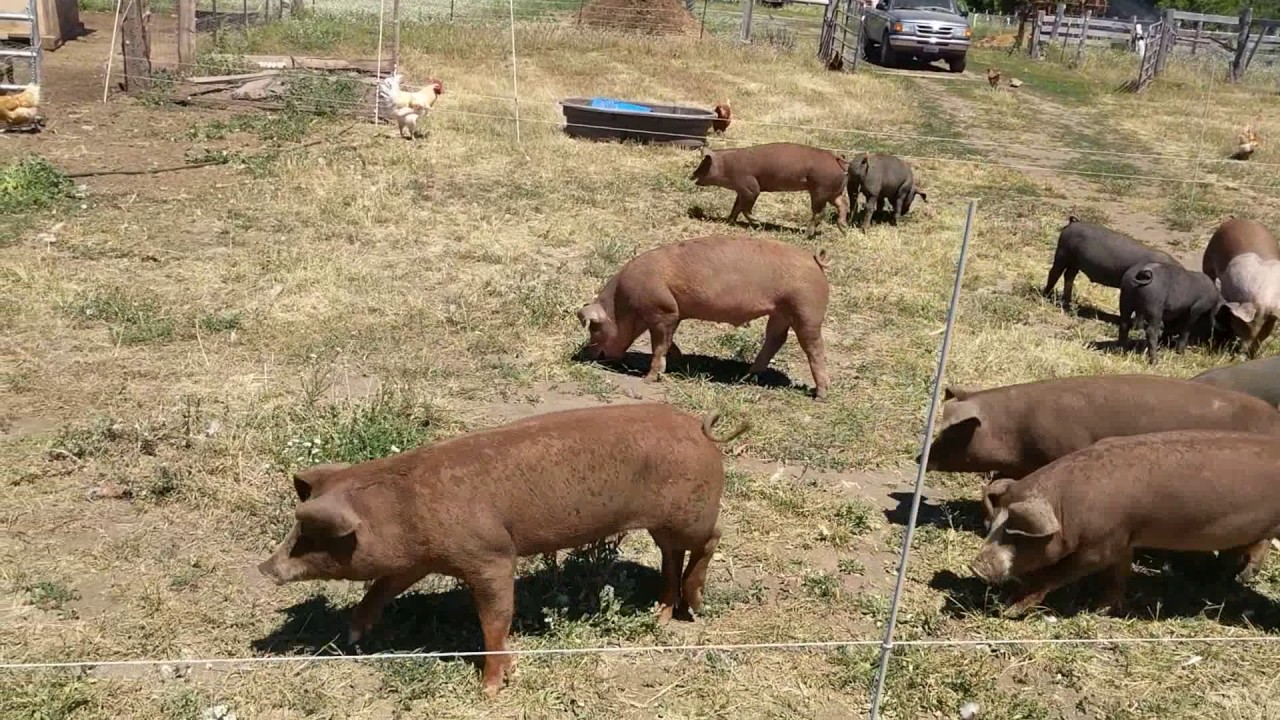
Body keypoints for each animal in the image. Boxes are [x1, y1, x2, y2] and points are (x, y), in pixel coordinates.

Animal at [258, 403, 749, 696]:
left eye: (309, 536)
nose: (264, 567)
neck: (403, 510)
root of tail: (700, 427)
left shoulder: (490, 555)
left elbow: (494, 619)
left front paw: (489, 690)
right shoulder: (419, 559)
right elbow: (381, 587)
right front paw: (354, 637)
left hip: (692, 514)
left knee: (713, 538)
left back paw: (694, 608)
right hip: (665, 523)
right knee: (671, 555)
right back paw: (661, 614)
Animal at [577, 234, 832, 400]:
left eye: (594, 328)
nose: (588, 355)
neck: (624, 303)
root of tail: (814, 260)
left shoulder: (663, 310)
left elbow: (659, 345)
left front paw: (648, 379)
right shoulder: (671, 315)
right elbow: (668, 342)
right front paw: (678, 361)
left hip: (806, 308)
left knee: (814, 347)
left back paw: (820, 395)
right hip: (780, 312)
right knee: (775, 339)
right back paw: (747, 377)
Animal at [690, 142, 850, 237]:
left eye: (704, 164)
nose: (691, 175)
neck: (726, 166)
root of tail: (837, 159)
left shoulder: (751, 188)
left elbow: (745, 209)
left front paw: (758, 224)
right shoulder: (741, 191)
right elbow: (736, 207)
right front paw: (729, 222)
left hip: (820, 190)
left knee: (820, 213)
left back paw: (805, 235)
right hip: (833, 192)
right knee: (843, 204)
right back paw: (844, 229)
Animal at [971, 430, 1280, 617]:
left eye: (1017, 532)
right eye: (994, 524)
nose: (975, 566)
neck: (1066, 509)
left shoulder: (1100, 544)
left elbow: (1058, 573)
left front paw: (1010, 609)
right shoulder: (1124, 537)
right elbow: (1119, 574)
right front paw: (1102, 610)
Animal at [1042, 216, 1177, 312]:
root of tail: (1074, 222)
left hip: (1075, 263)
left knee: (1069, 276)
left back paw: (1067, 303)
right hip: (1063, 254)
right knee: (1055, 272)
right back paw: (1046, 295)